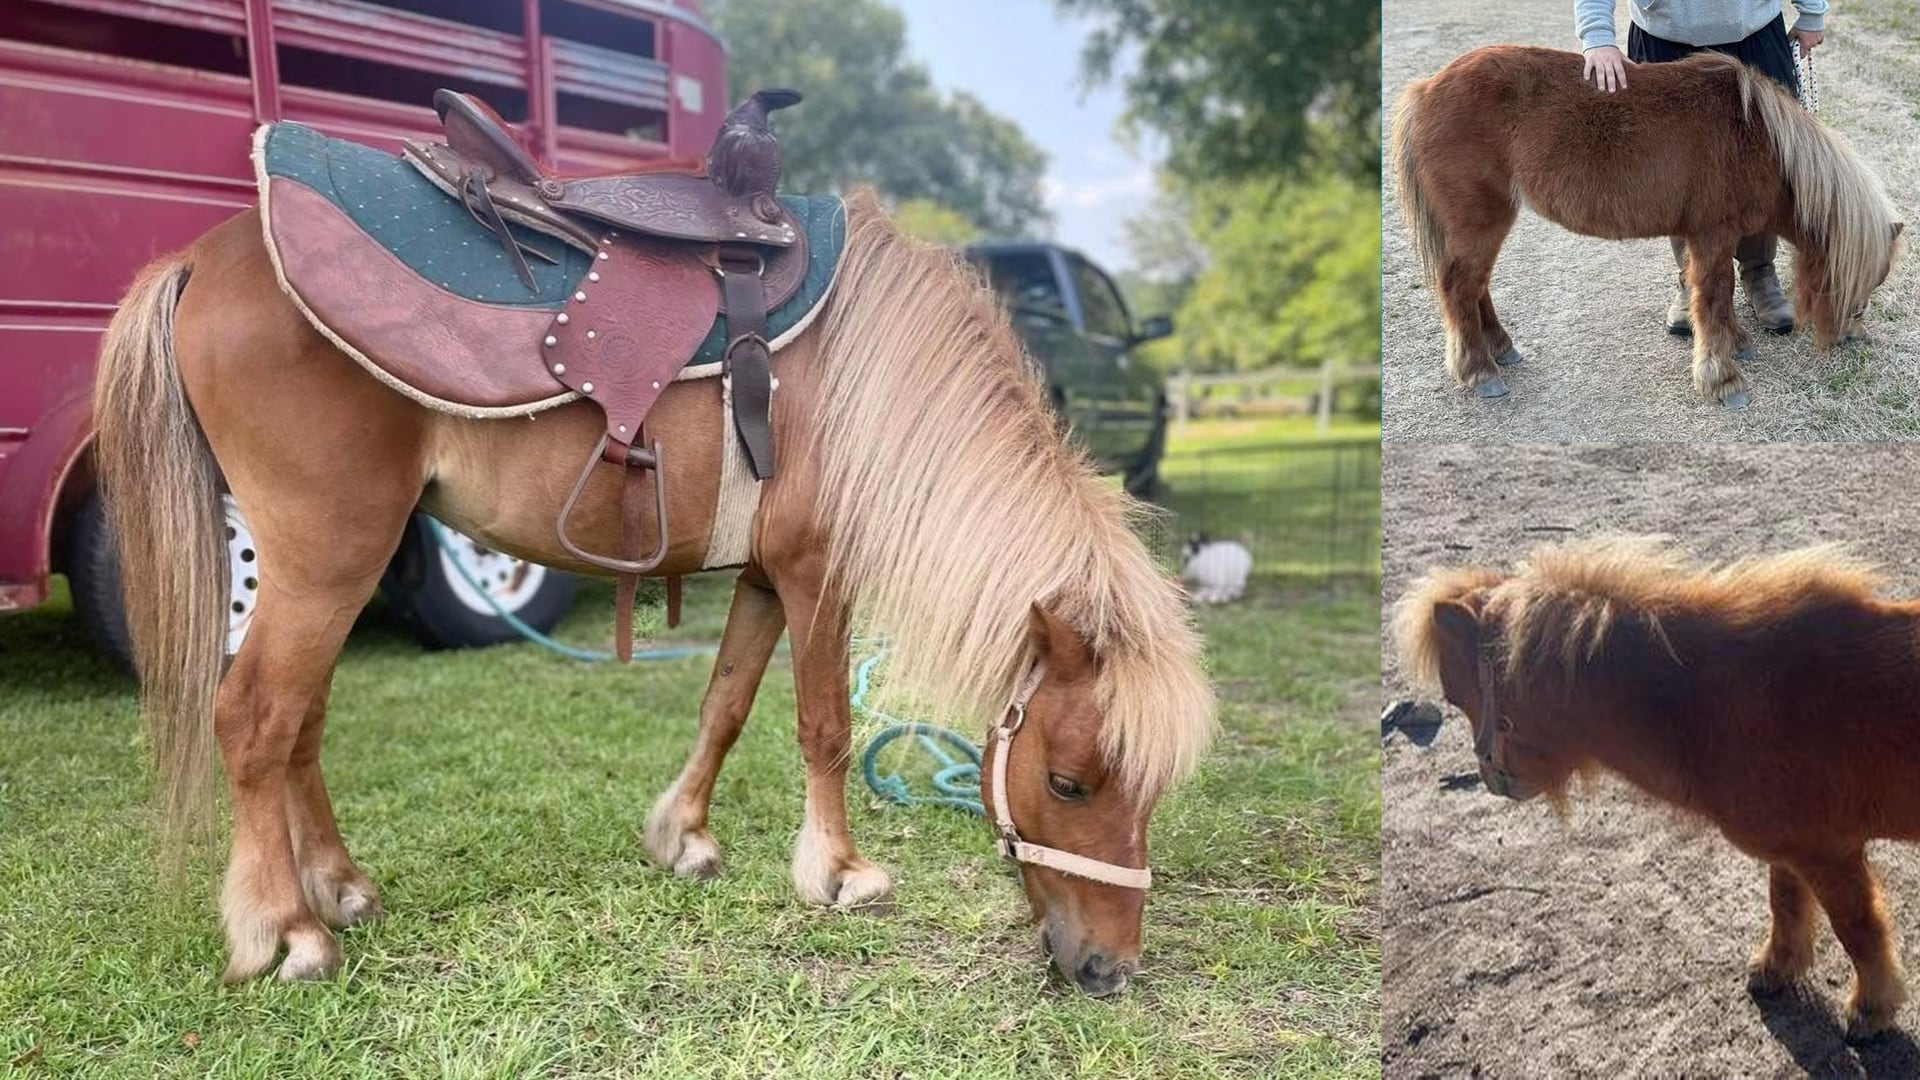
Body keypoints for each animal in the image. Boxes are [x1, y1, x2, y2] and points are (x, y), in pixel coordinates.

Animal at [92, 187, 1215, 995]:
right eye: (1068, 783)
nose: (1109, 970)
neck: (859, 388)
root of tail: (201, 260)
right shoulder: (816, 575)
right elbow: (822, 727)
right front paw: (838, 873)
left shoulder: (762, 575)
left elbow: (726, 705)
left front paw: (685, 836)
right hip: (329, 557)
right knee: (254, 717)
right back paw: (285, 931)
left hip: (327, 567)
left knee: (301, 720)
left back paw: (339, 886)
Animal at [1392, 46, 1903, 408]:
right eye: (1858, 284)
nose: (1853, 339)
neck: (1756, 136)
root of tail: (1428, 87)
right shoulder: (1712, 235)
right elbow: (1713, 296)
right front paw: (1723, 379)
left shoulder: (1716, 236)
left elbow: (1719, 298)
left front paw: (1736, 344)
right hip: (1480, 219)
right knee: (1460, 287)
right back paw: (1481, 371)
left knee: (1475, 286)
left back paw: (1500, 348)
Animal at [1394, 537, 1920, 1040]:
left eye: (1456, 696)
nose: (1494, 780)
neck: (1716, 696)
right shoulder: (1793, 853)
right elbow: (1785, 906)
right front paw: (1776, 969)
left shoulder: (1831, 854)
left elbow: (1857, 930)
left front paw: (1871, 1011)